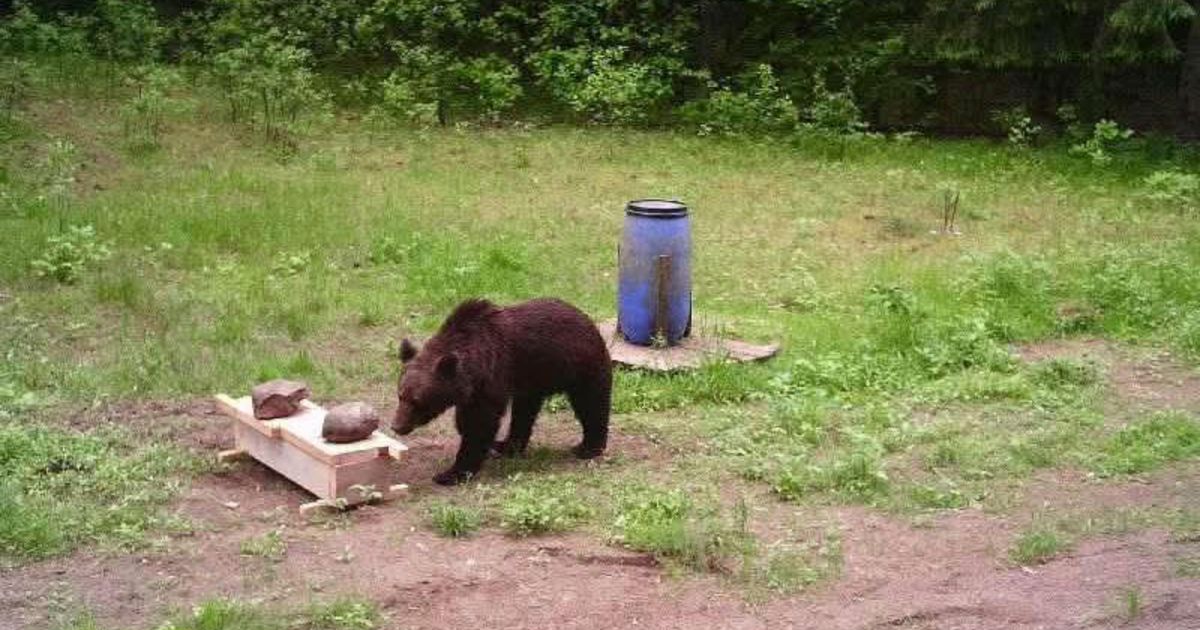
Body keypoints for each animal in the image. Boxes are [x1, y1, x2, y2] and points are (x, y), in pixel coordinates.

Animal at [391, 297, 612, 486]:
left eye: (417, 401)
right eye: (400, 395)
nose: (397, 426)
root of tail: (587, 319)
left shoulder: (491, 378)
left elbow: (478, 424)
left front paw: (451, 473)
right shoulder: (472, 392)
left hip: (580, 367)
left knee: (591, 404)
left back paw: (588, 447)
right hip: (532, 381)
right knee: (524, 414)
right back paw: (506, 446)